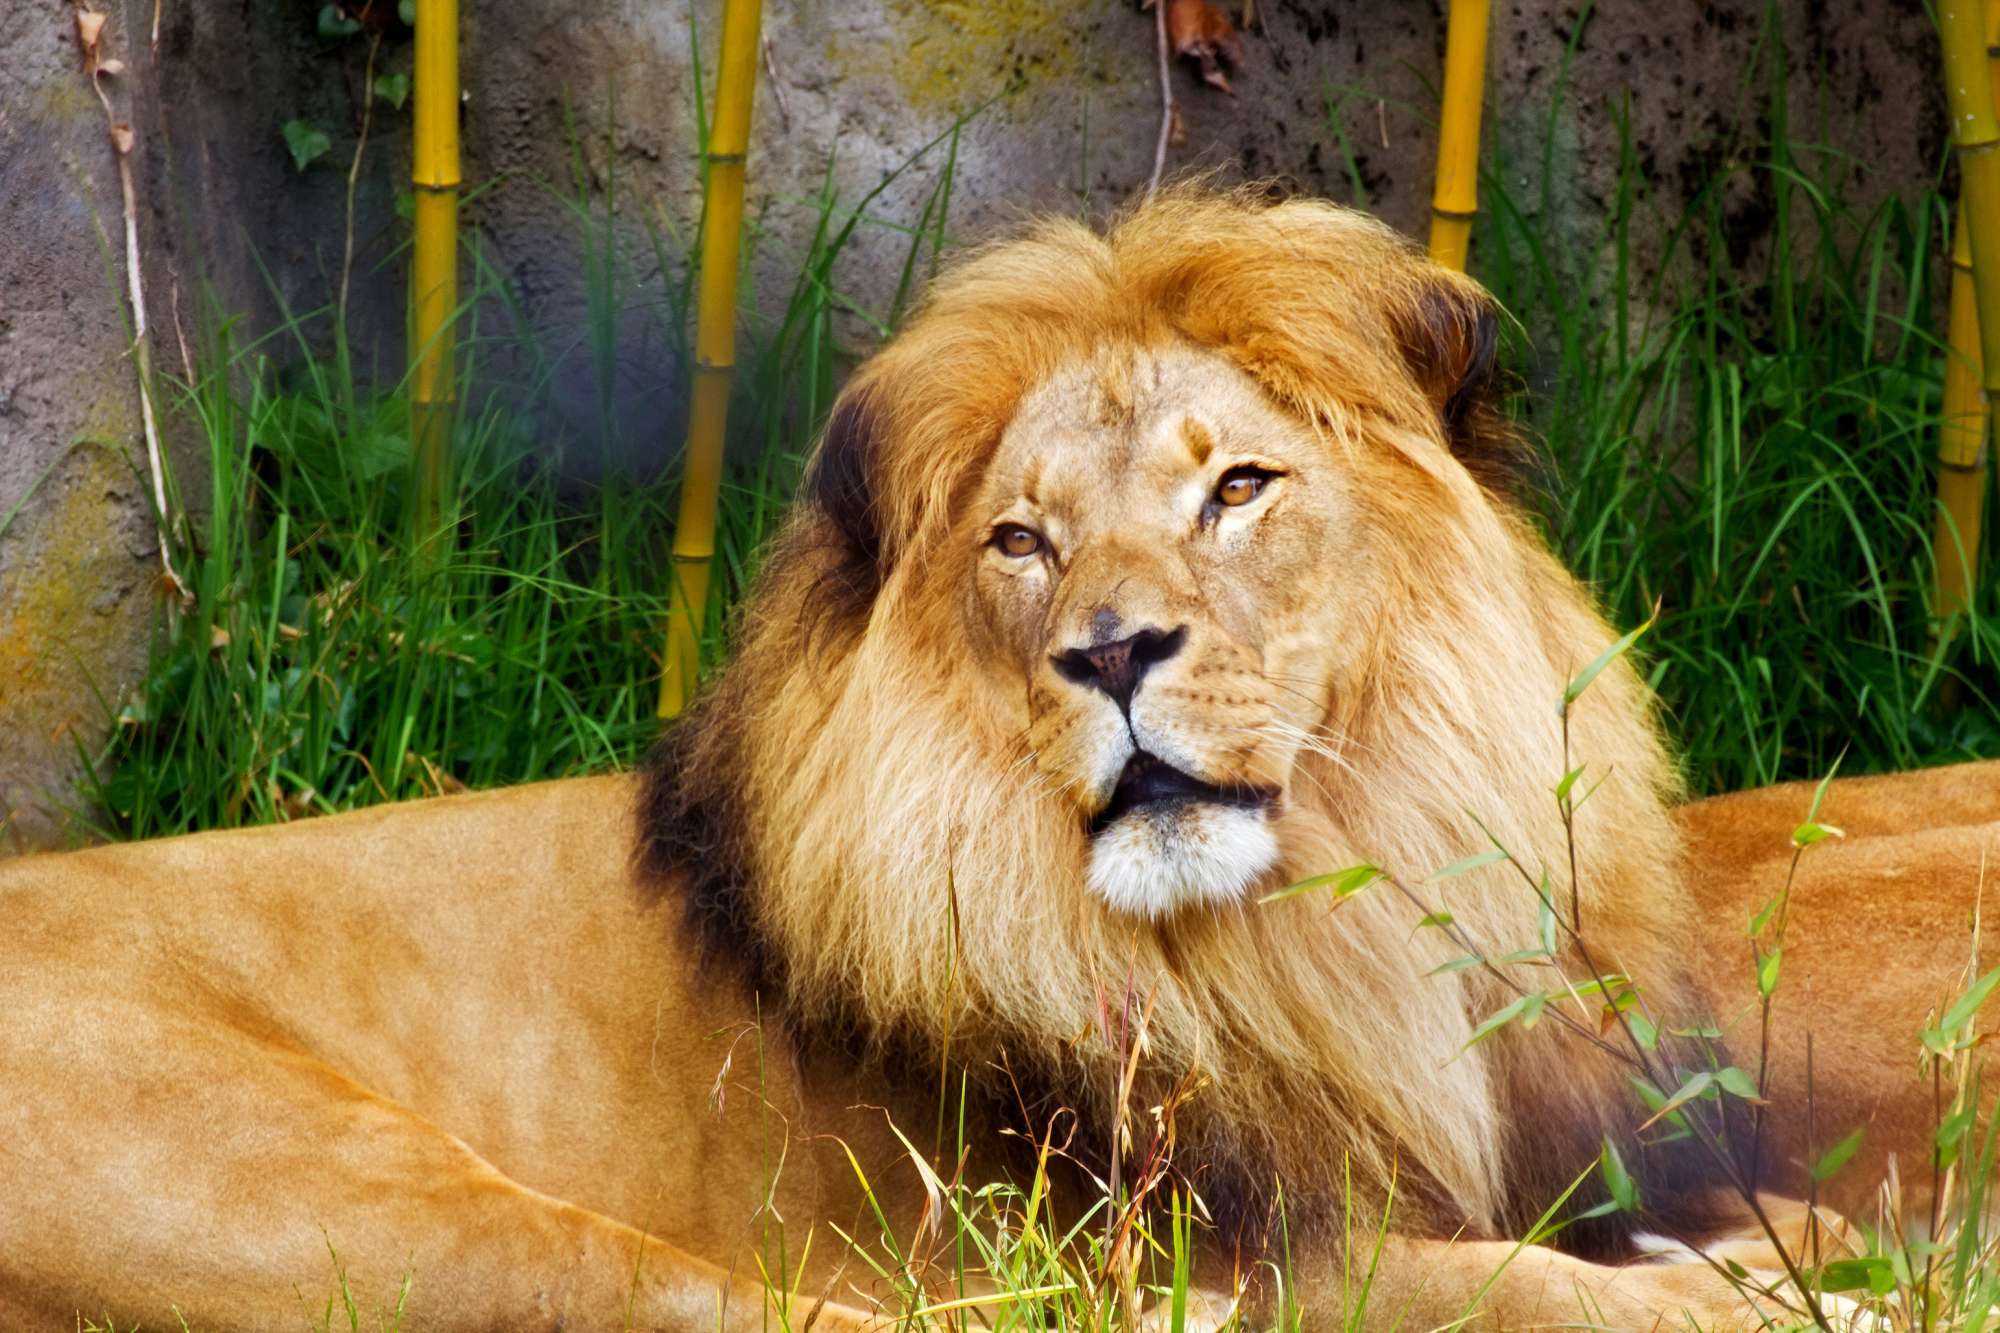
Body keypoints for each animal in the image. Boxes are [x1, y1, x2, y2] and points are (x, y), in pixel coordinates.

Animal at [1, 188, 1996, 1332]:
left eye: (1237, 487)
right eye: (1023, 542)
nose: (1110, 652)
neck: (1320, 926)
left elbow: (1730, 1214)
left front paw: (1825, 1247)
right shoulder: (1264, 1239)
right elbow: (1528, 1295)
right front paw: (1763, 1293)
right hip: (317, 1190)